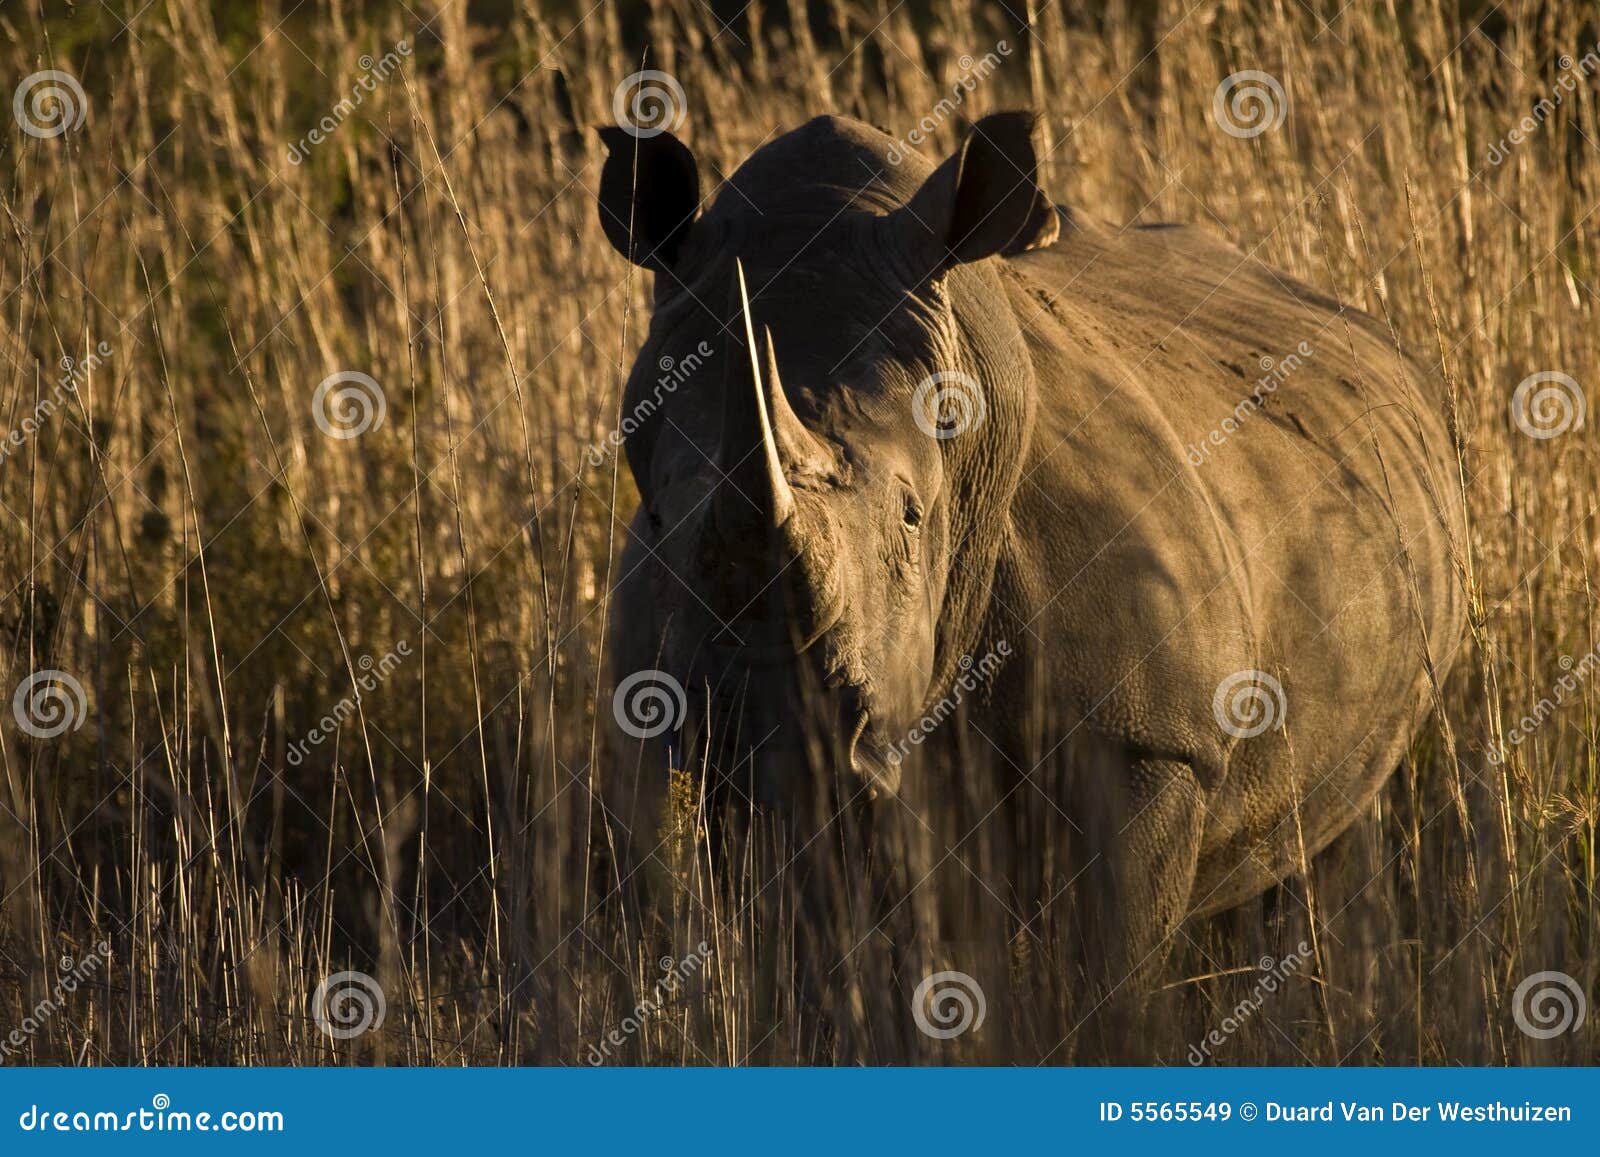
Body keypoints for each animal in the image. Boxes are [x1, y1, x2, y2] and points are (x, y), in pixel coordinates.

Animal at [596, 110, 1466, 995]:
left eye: (912, 515)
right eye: (657, 519)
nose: (780, 738)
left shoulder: (1155, 739)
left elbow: (1107, 970)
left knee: (1326, 836)